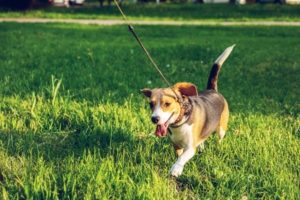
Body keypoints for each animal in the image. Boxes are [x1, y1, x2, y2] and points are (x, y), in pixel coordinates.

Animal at [141, 45, 234, 177]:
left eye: (167, 104)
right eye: (151, 104)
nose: (154, 119)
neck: (180, 122)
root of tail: (212, 90)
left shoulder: (190, 147)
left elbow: (182, 157)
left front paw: (176, 169)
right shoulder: (176, 145)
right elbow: (179, 155)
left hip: (221, 129)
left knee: (219, 138)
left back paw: (218, 147)